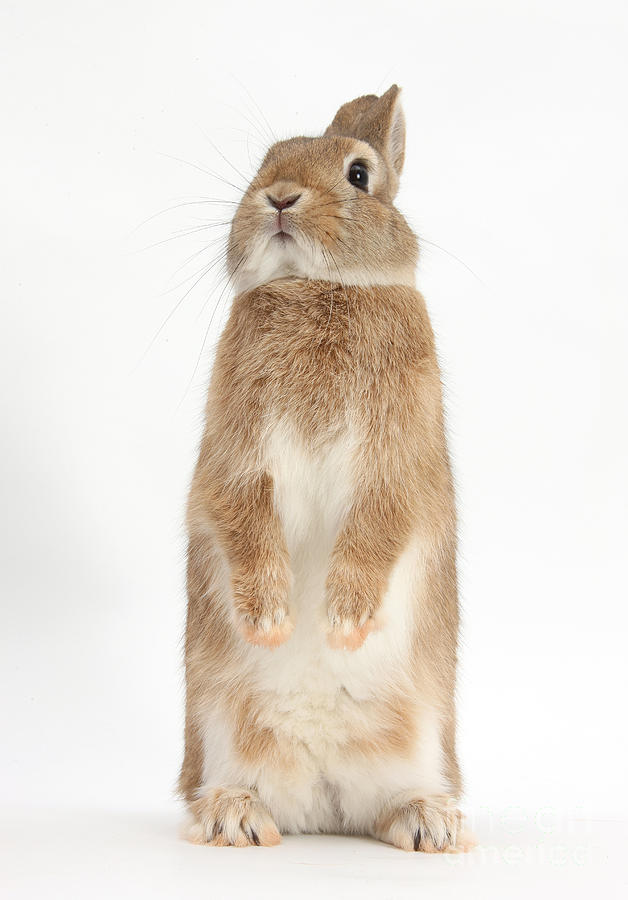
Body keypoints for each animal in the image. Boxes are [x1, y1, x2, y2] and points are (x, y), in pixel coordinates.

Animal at [179, 85, 473, 852]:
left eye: (359, 174)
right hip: (215, 724)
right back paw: (235, 815)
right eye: (267, 161)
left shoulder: (398, 462)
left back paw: (432, 823)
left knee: (390, 803)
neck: (317, 285)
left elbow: (379, 523)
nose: (280, 196)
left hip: (424, 734)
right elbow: (241, 515)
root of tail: (323, 802)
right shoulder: (236, 456)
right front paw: (271, 622)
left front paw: (342, 623)